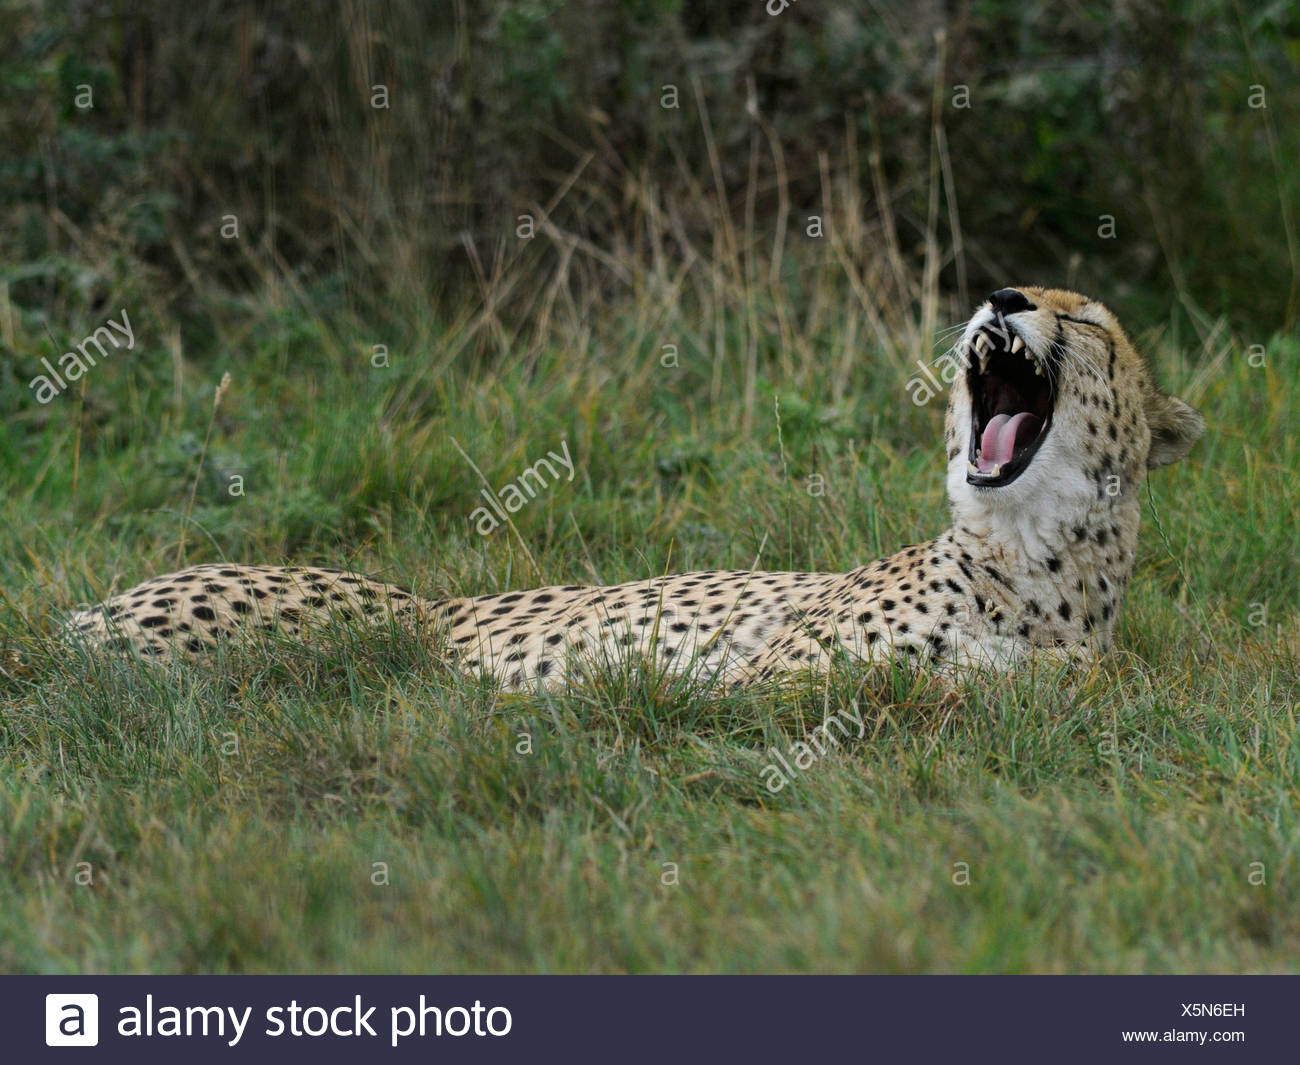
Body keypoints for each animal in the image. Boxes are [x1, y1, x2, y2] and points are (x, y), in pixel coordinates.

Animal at [65, 287, 1204, 691]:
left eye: (1084, 317)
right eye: (1007, 286)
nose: (1000, 299)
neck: (1037, 551)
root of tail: (80, 618)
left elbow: (1059, 675)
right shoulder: (777, 677)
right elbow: (932, 675)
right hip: (324, 636)